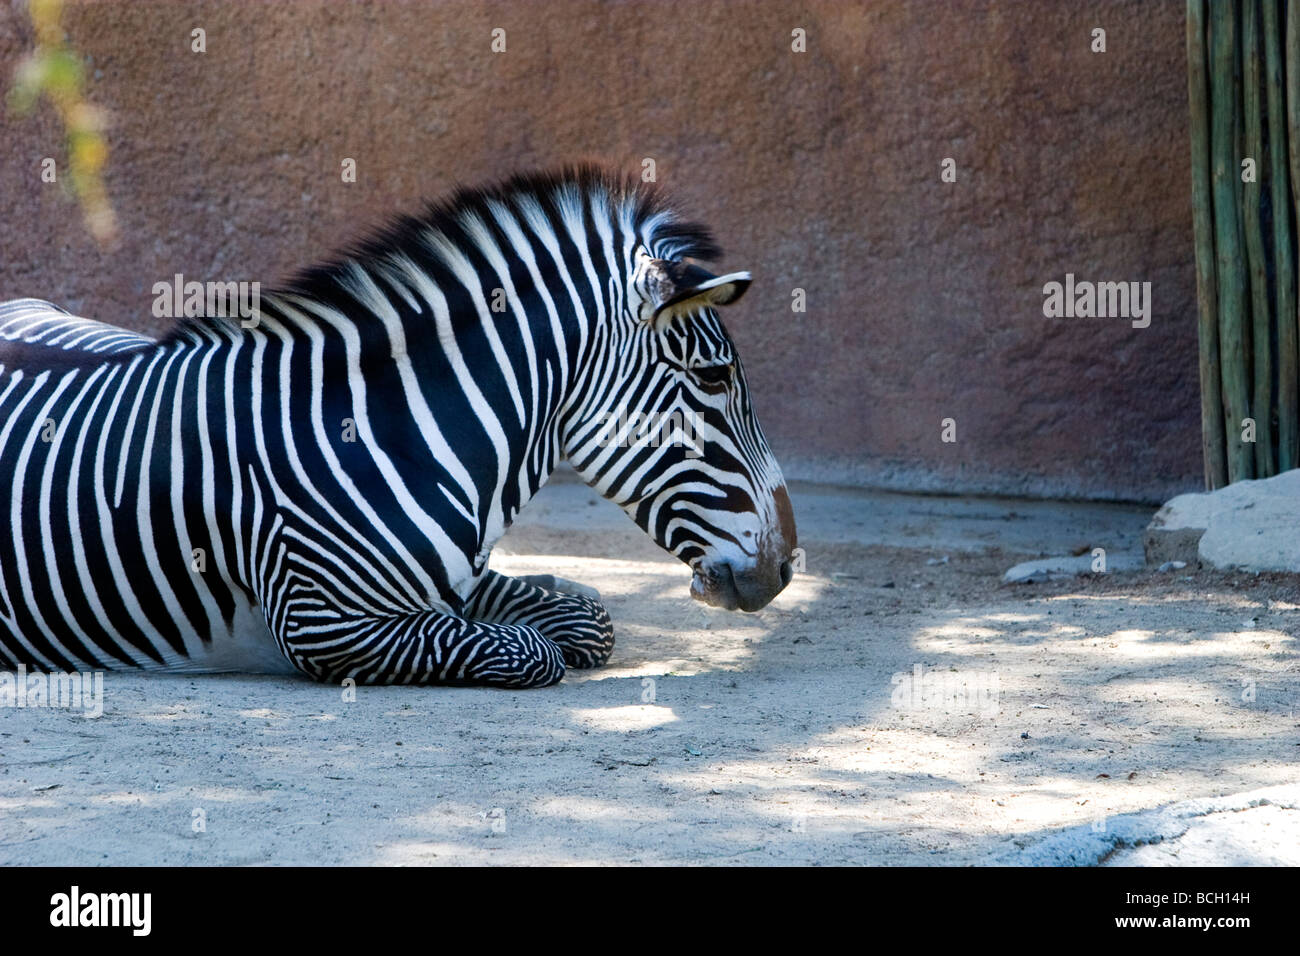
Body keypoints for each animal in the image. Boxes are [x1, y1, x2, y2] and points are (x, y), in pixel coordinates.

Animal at [0, 165, 797, 688]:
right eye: (713, 379)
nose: (789, 566)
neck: (400, 437)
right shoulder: (325, 622)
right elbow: (529, 651)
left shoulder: (459, 584)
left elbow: (588, 617)